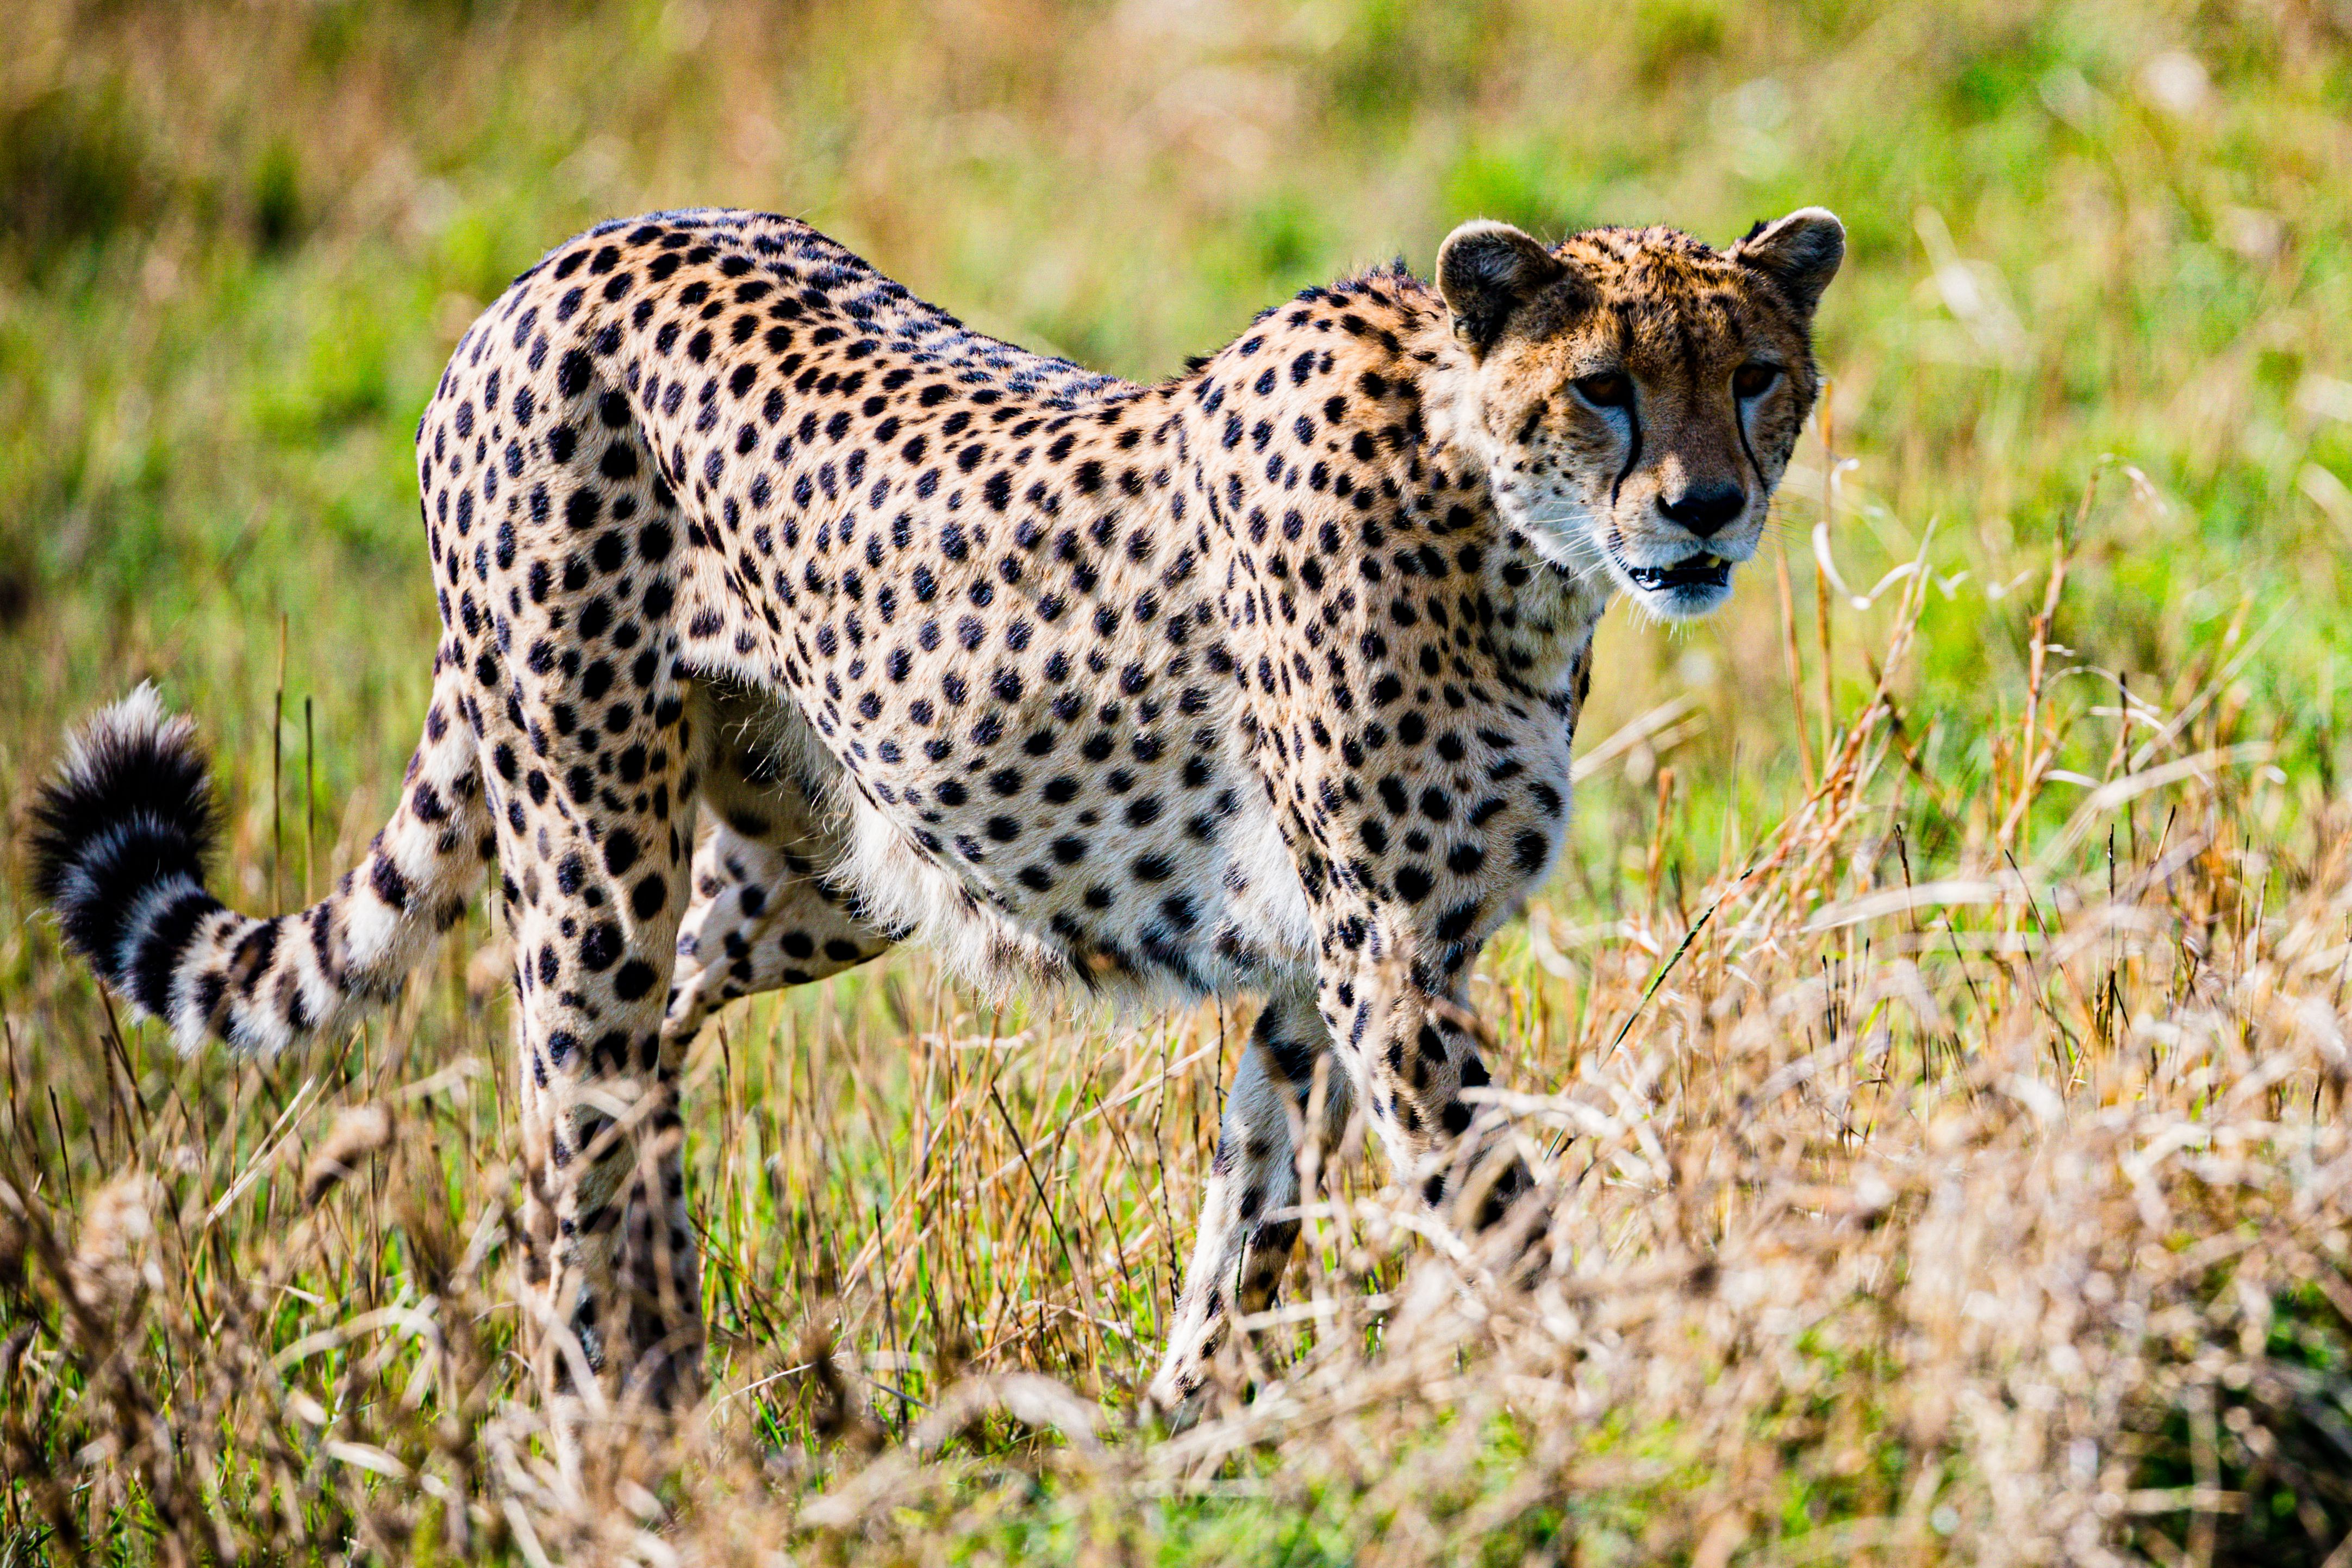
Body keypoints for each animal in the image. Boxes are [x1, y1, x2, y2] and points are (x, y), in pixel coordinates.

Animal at [28, 203, 1843, 1428]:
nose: (1704, 508)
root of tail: (560, 261)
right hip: (590, 840)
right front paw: (1618, 1398)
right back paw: (590, 1437)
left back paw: (676, 1387)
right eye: (1603, 387)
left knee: (638, 1068)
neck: (1500, 526)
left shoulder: (1318, 971)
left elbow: (1247, 1217)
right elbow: (1500, 1218)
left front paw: (1184, 1438)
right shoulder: (1388, 964)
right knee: (562, 1103)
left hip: (817, 869)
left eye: (1756, 375)